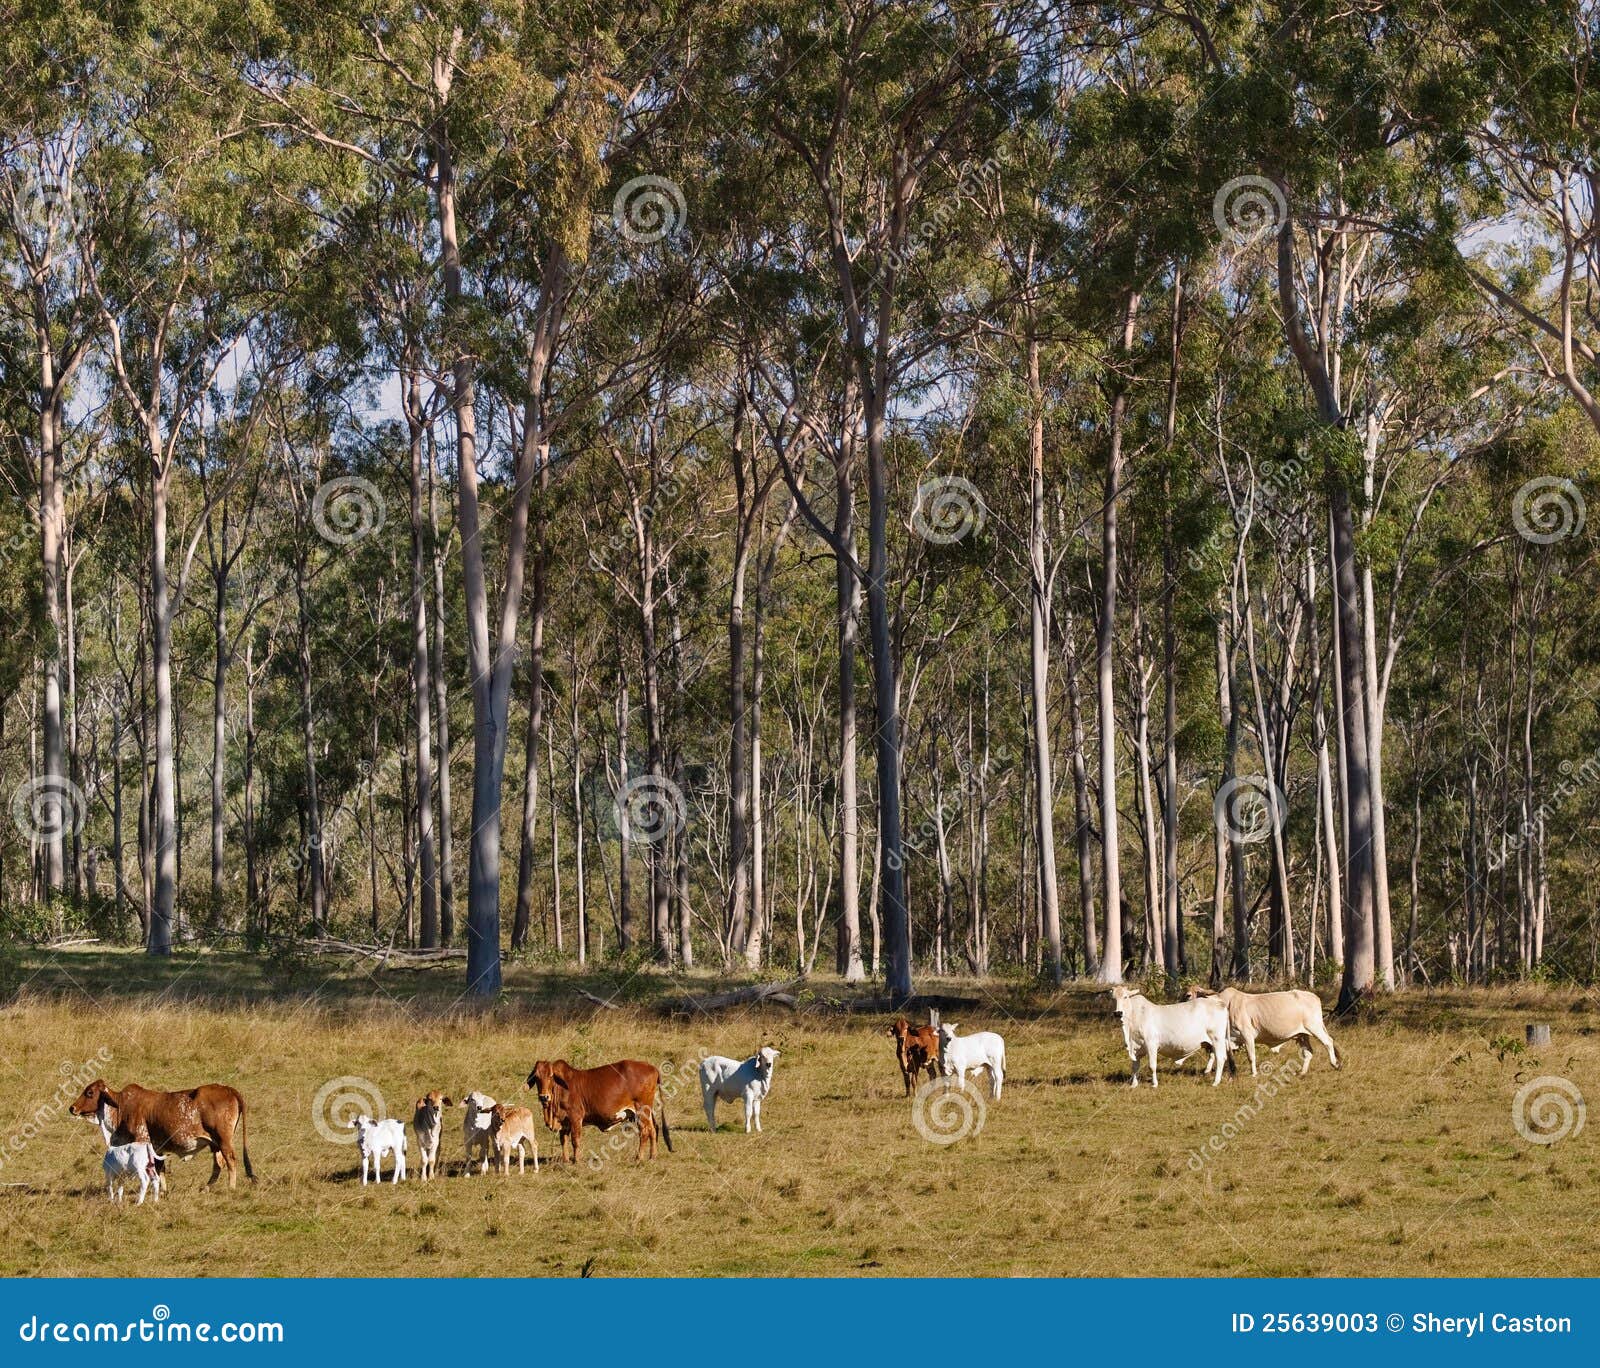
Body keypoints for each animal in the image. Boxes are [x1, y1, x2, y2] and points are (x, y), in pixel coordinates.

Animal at [69, 1079, 253, 1188]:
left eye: (90, 1093)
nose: (72, 1108)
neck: (121, 1107)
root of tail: (228, 1089)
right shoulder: (157, 1148)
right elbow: (160, 1168)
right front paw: (162, 1191)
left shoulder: (142, 1141)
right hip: (214, 1143)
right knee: (218, 1164)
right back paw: (206, 1188)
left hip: (223, 1140)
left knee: (230, 1160)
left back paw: (231, 1187)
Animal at [526, 1059, 673, 1163]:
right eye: (536, 1077)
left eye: (551, 1076)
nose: (544, 1097)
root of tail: (652, 1068)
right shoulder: (564, 1121)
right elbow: (564, 1140)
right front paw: (566, 1160)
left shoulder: (575, 1117)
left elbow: (575, 1140)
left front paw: (576, 1160)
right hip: (646, 1112)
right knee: (653, 1129)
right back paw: (652, 1156)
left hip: (641, 1111)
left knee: (645, 1132)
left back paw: (638, 1158)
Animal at [1190, 986, 1341, 1076]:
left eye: (1188, 995)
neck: (1226, 1005)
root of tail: (1314, 997)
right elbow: (1214, 1054)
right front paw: (1207, 1070)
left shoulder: (1247, 1035)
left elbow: (1251, 1056)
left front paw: (1254, 1073)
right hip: (1302, 1034)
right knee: (1308, 1052)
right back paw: (1302, 1072)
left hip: (1314, 1027)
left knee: (1328, 1042)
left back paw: (1335, 1064)